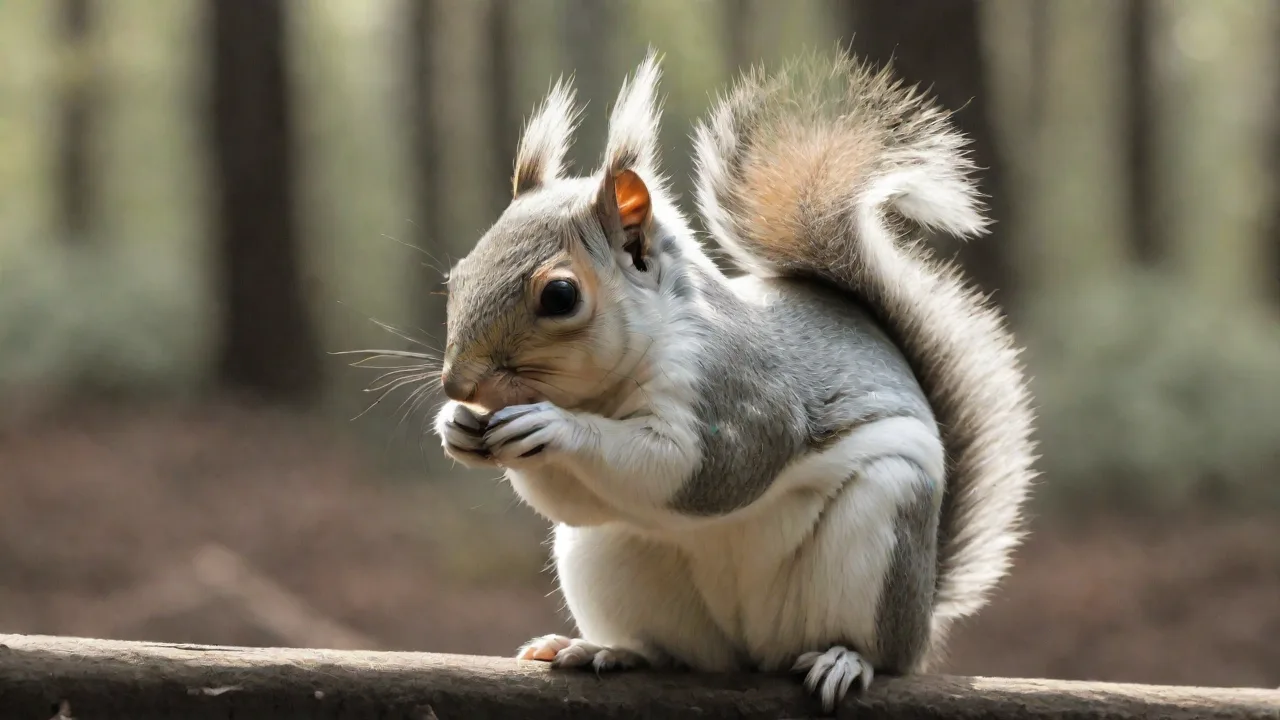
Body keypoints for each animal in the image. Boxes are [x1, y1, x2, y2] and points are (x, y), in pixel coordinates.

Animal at [432, 48, 1036, 713]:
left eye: (560, 296)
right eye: (457, 277)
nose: (459, 387)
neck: (606, 393)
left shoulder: (739, 391)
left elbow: (699, 469)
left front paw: (554, 426)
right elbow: (575, 499)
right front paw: (457, 429)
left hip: (884, 527)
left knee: (874, 648)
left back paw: (845, 659)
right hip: (611, 556)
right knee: (676, 650)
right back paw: (607, 650)